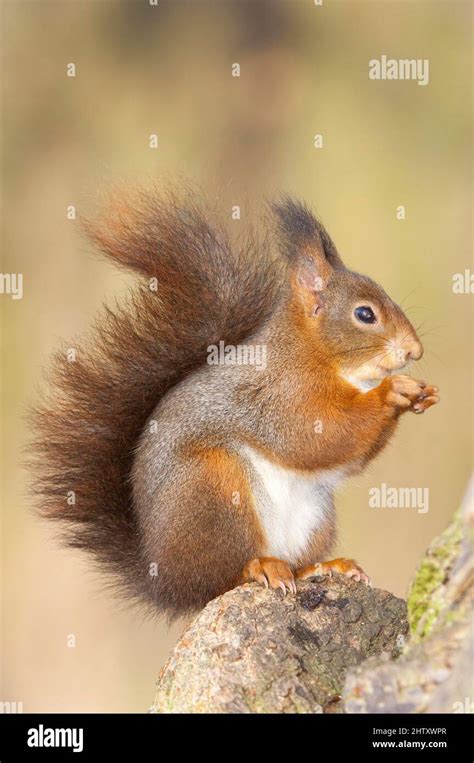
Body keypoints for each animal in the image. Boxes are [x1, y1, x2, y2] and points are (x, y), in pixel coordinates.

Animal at [31, 186, 440, 618]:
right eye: (365, 314)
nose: (415, 350)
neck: (313, 354)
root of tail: (164, 580)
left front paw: (422, 393)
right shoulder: (279, 396)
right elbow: (317, 436)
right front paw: (393, 391)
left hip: (315, 515)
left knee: (289, 564)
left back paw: (323, 566)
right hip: (214, 488)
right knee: (220, 579)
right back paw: (260, 567)